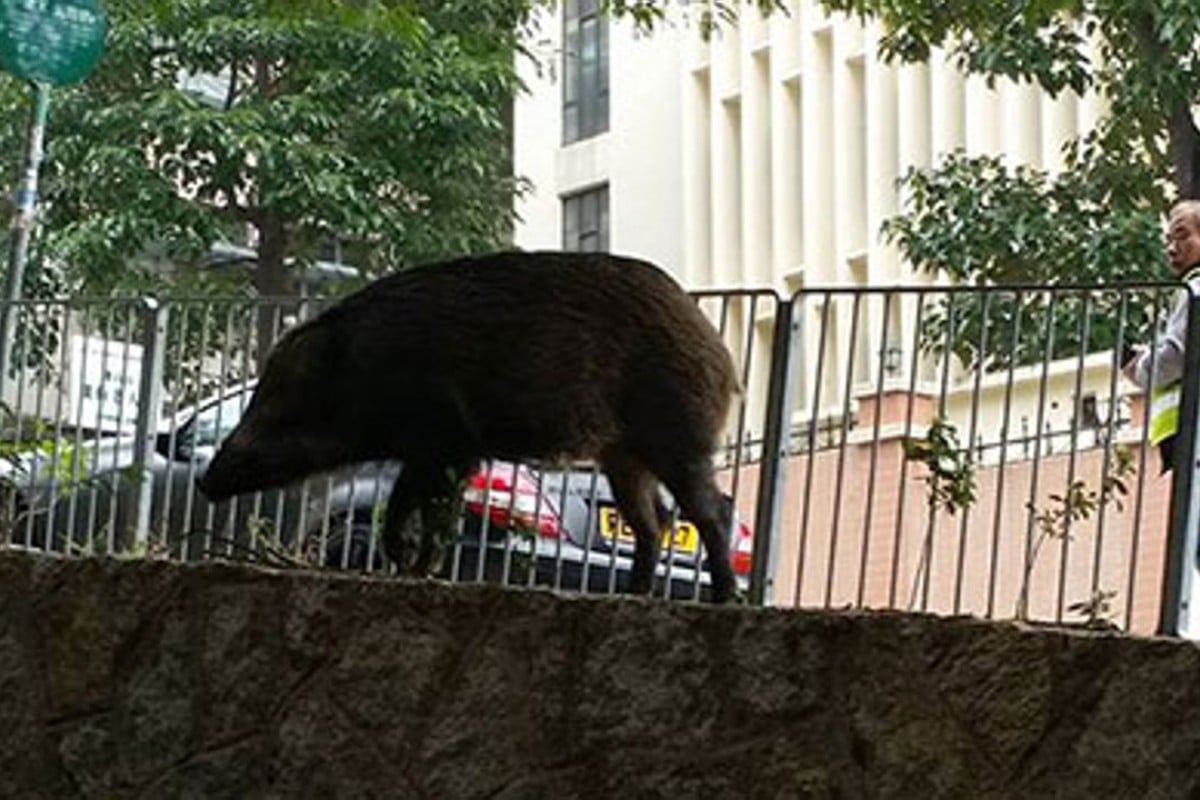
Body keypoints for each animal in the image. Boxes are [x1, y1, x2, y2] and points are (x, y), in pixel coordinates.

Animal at [197, 250, 741, 602]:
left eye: (278, 407)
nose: (205, 481)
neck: (364, 370)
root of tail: (720, 354)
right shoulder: (443, 452)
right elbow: (430, 510)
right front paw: (417, 569)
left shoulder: (447, 440)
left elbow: (414, 506)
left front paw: (408, 562)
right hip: (622, 456)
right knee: (654, 519)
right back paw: (635, 594)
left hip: (677, 433)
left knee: (710, 510)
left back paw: (721, 599)